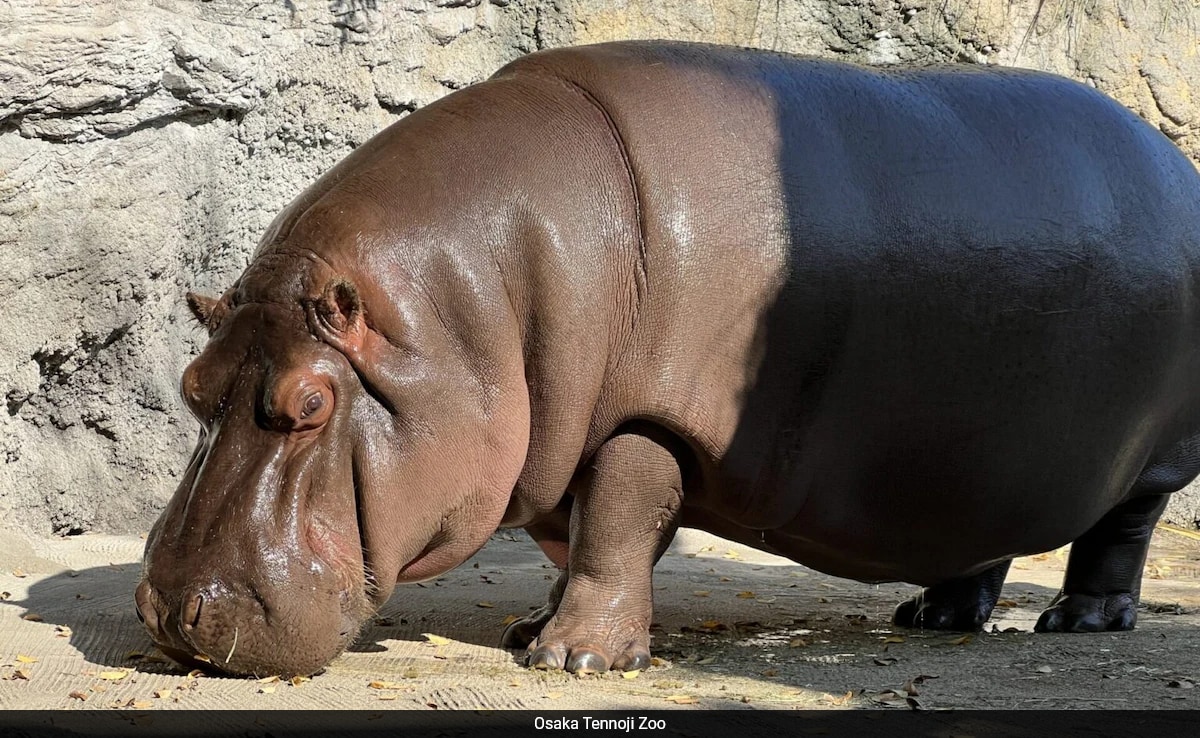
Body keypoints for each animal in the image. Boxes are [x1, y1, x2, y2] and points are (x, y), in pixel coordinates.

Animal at [135, 40, 1200, 677]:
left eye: (312, 404)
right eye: (191, 388)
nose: (168, 611)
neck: (473, 309)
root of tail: (1177, 163)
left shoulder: (643, 419)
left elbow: (616, 524)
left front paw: (569, 661)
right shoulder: (563, 430)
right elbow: (581, 541)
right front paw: (535, 632)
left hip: (1154, 460)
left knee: (1119, 533)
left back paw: (1081, 623)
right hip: (989, 462)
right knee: (982, 536)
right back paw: (935, 621)